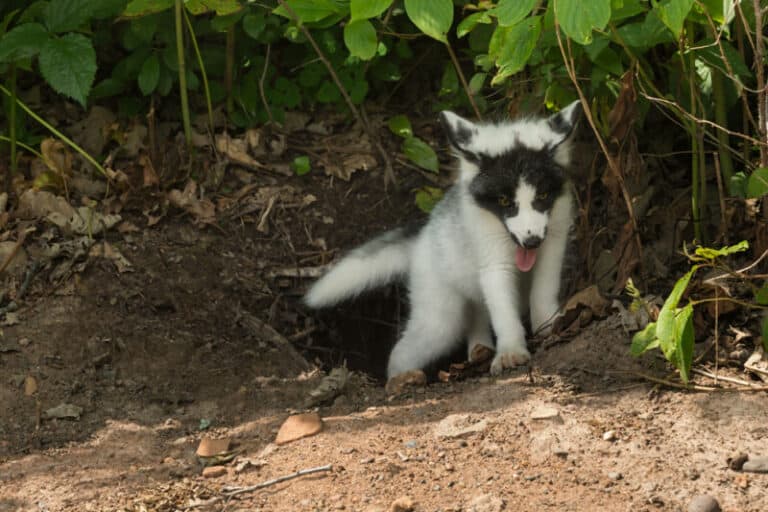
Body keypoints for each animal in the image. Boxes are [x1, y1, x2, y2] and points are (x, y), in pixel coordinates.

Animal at [305, 101, 581, 379]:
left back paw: (479, 350)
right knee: (400, 353)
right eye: (504, 201)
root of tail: (423, 234)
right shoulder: (493, 263)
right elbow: (503, 311)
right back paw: (401, 379)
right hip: (440, 321)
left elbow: (543, 291)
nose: (531, 242)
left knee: (477, 318)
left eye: (543, 196)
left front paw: (549, 325)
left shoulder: (554, 241)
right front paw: (511, 351)